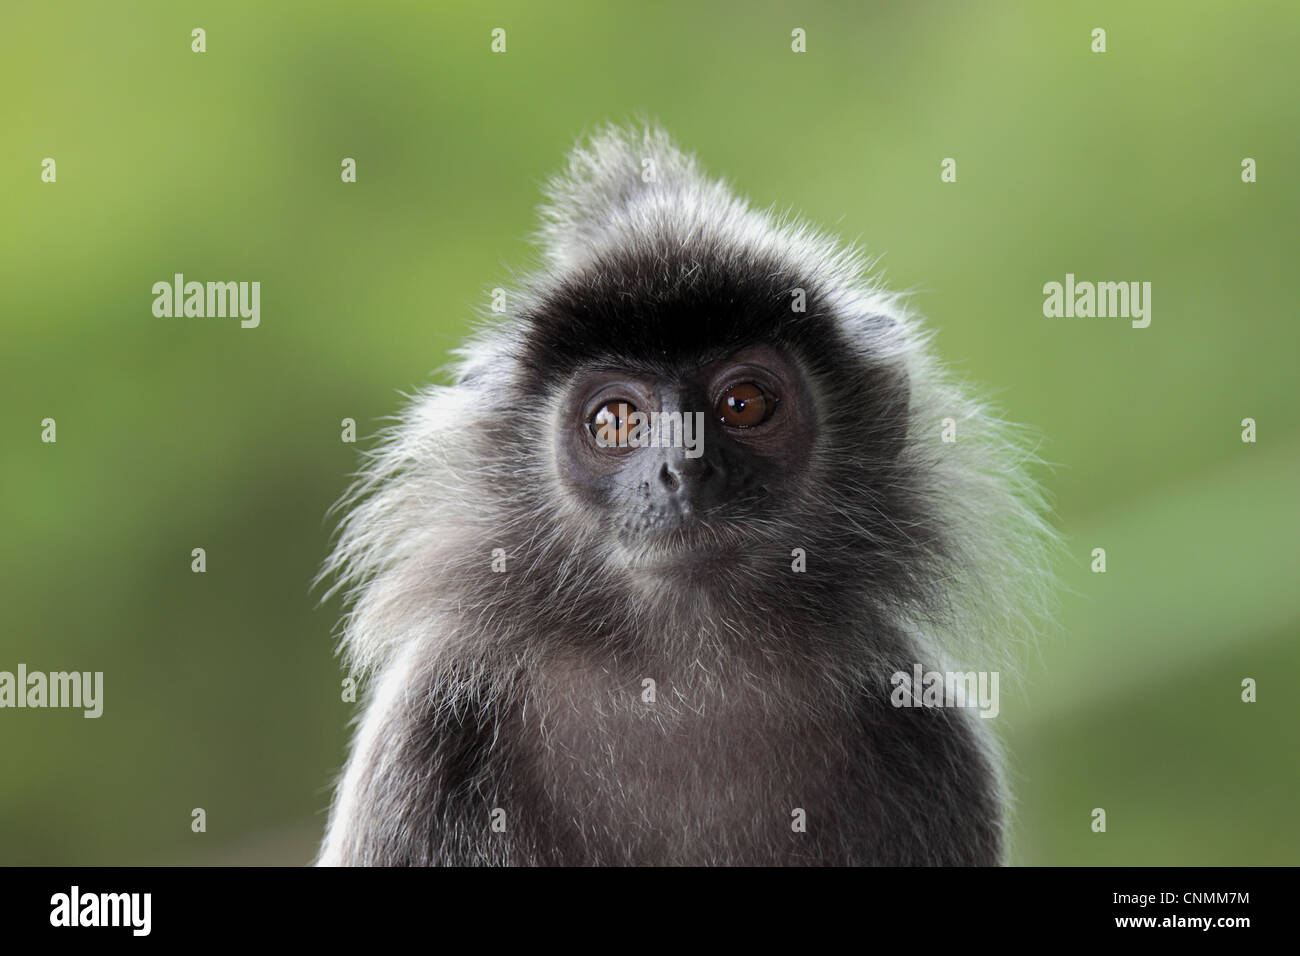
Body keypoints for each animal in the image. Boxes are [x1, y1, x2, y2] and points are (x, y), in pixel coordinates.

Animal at [316, 125, 1054, 866]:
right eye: (615, 420)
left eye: (744, 403)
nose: (685, 469)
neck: (684, 667)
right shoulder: (429, 721)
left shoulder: (926, 728)